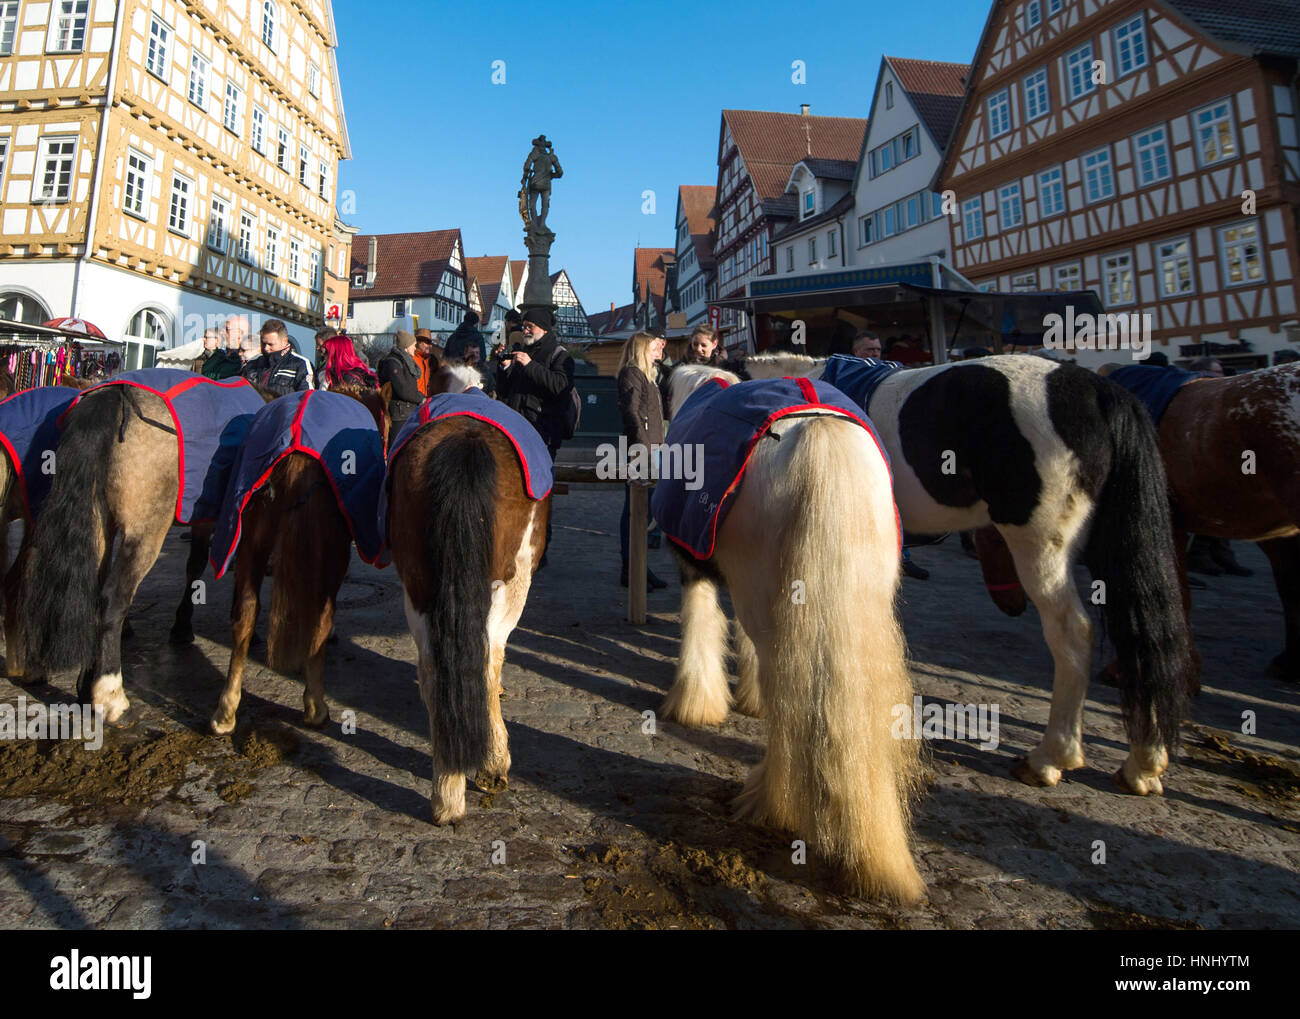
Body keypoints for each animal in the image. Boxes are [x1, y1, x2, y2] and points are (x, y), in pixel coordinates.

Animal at [20, 369, 268, 723]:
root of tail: (115, 393)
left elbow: (194, 567)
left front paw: (182, 626)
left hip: (99, 524)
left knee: (92, 592)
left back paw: (86, 685)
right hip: (145, 531)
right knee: (112, 599)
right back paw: (110, 694)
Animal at [209, 384, 390, 735]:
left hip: (251, 542)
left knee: (245, 613)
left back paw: (226, 709)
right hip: (332, 550)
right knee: (322, 614)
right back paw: (315, 706)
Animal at [385, 368, 550, 825]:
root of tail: (465, 442)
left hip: (418, 585)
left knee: (432, 669)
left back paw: (446, 790)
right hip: (511, 580)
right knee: (489, 655)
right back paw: (491, 764)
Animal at [655, 372, 923, 902]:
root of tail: (818, 425)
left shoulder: (696, 566)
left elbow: (701, 622)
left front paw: (696, 703)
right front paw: (745, 699)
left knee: (789, 692)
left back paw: (773, 801)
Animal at [668, 353, 1195, 797]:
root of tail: (1097, 389)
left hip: (1041, 549)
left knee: (1074, 636)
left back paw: (1052, 756)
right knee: (1142, 637)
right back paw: (1144, 763)